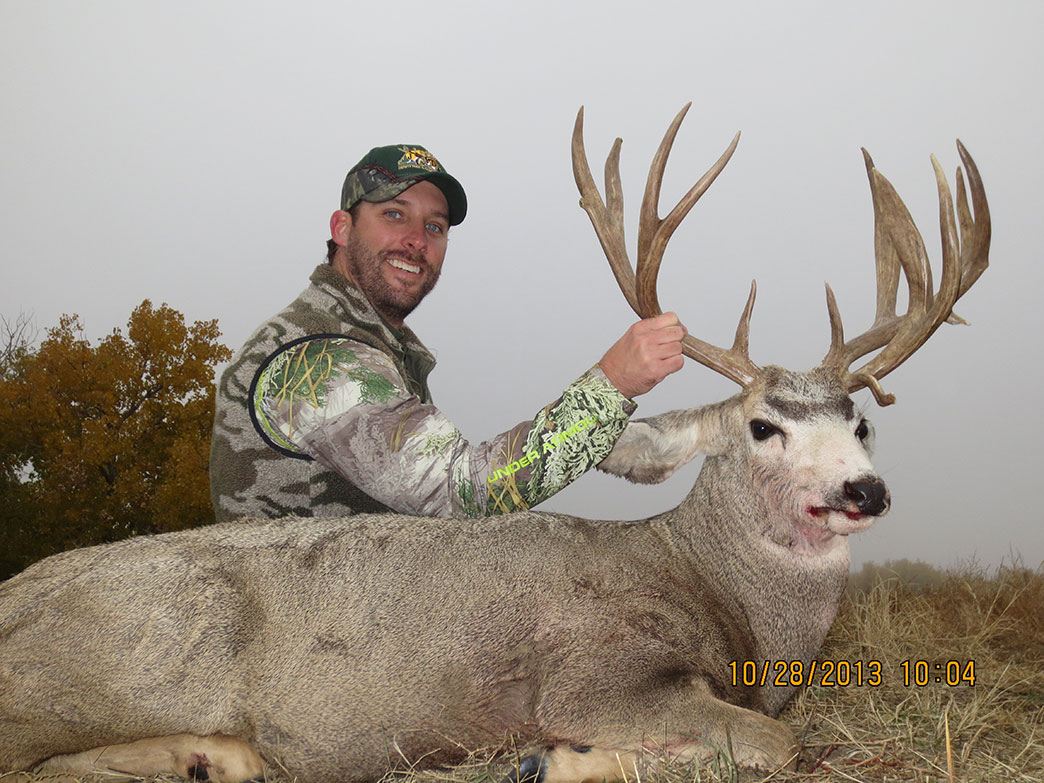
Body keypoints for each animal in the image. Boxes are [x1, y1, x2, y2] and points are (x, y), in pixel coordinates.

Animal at [0, 104, 989, 783]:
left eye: (862, 423)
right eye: (762, 424)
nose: (865, 490)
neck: (729, 605)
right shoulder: (594, 673)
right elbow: (776, 741)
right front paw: (570, 758)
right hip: (128, 660)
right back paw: (208, 754)